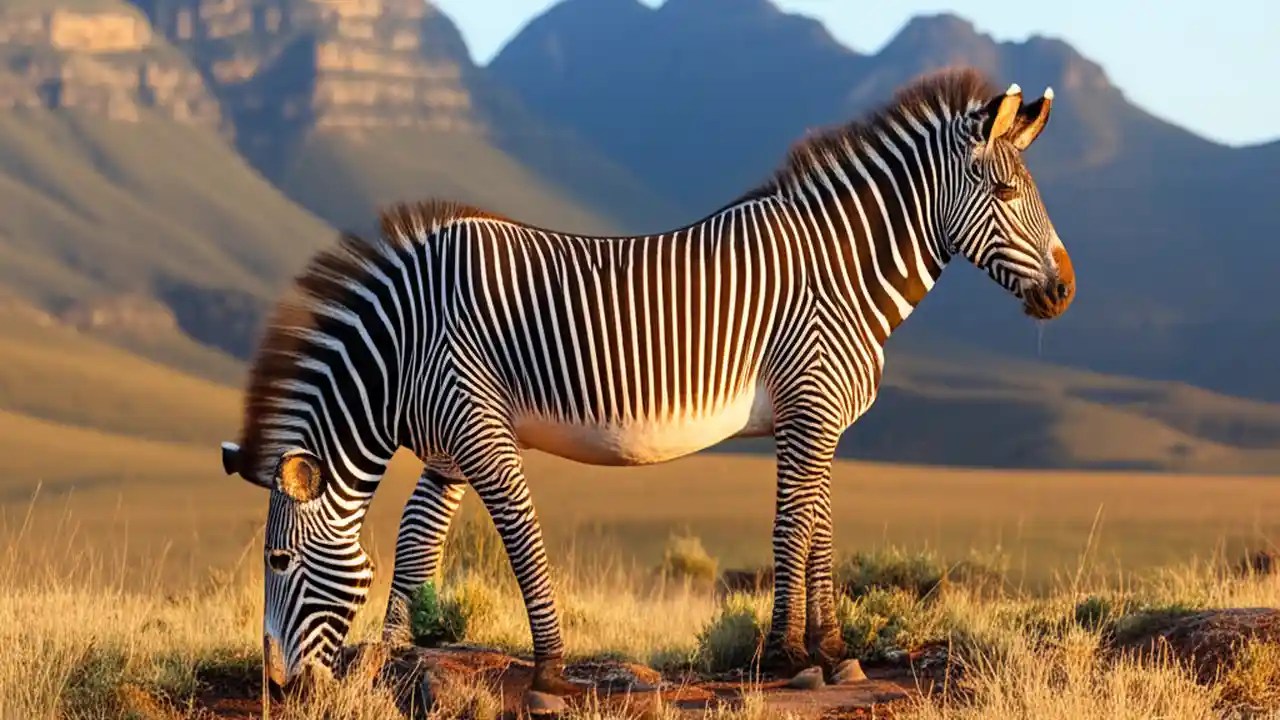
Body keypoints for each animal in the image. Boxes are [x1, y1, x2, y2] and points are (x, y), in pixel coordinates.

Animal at [219, 67, 1075, 695]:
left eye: (277, 563)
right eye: (1008, 194)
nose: (278, 687)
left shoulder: (812, 415)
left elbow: (809, 530)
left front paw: (816, 652)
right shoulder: (467, 436)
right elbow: (467, 540)